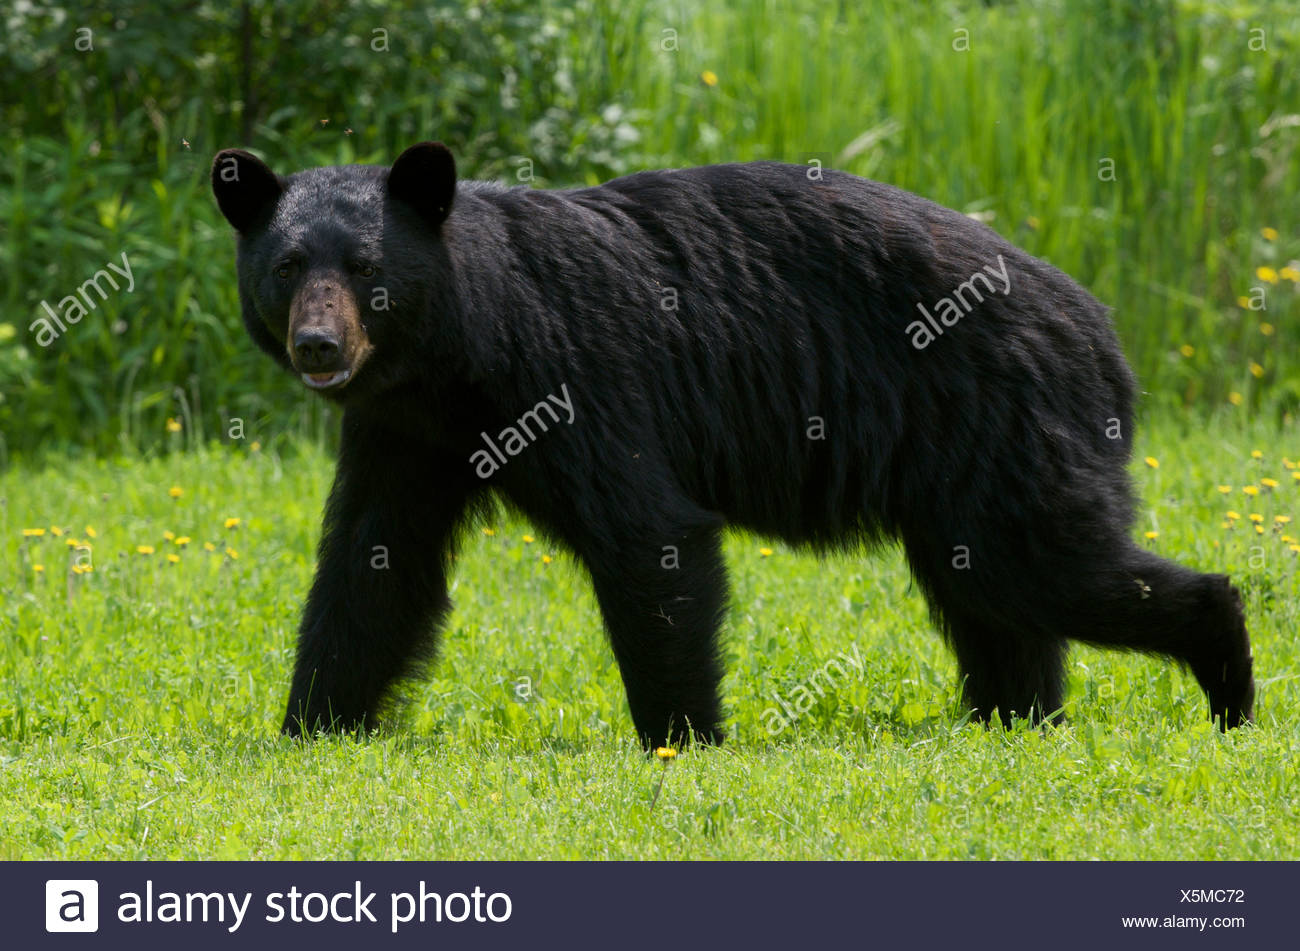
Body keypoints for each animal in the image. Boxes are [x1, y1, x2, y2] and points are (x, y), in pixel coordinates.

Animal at [211, 142, 1255, 747]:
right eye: (287, 266)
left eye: (367, 269)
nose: (319, 346)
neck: (461, 352)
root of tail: (1103, 328)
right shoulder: (405, 430)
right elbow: (374, 565)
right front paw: (308, 728)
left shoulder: (580, 375)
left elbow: (648, 533)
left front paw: (683, 738)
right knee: (997, 600)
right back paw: (1016, 717)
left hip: (1003, 422)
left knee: (1046, 567)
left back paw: (1229, 687)